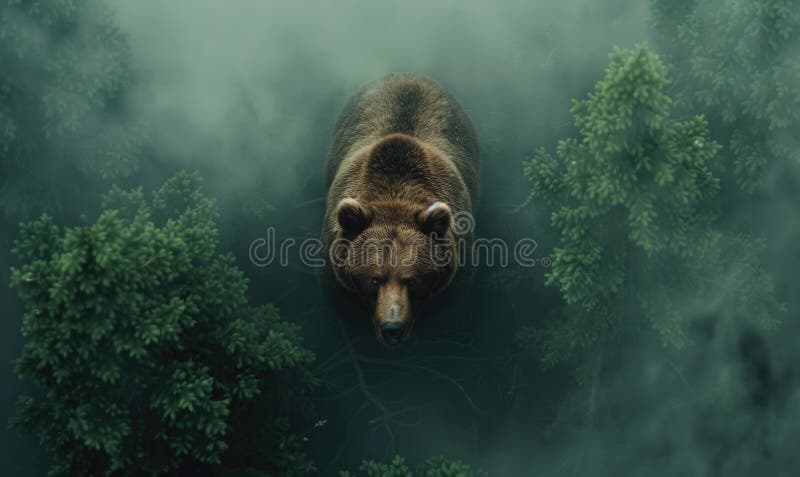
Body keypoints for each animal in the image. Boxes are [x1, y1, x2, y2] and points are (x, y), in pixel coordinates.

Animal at [321, 73, 479, 346]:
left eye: (412, 279)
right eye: (375, 278)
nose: (392, 327)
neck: (395, 191)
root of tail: (408, 75)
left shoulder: (456, 274)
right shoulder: (337, 279)